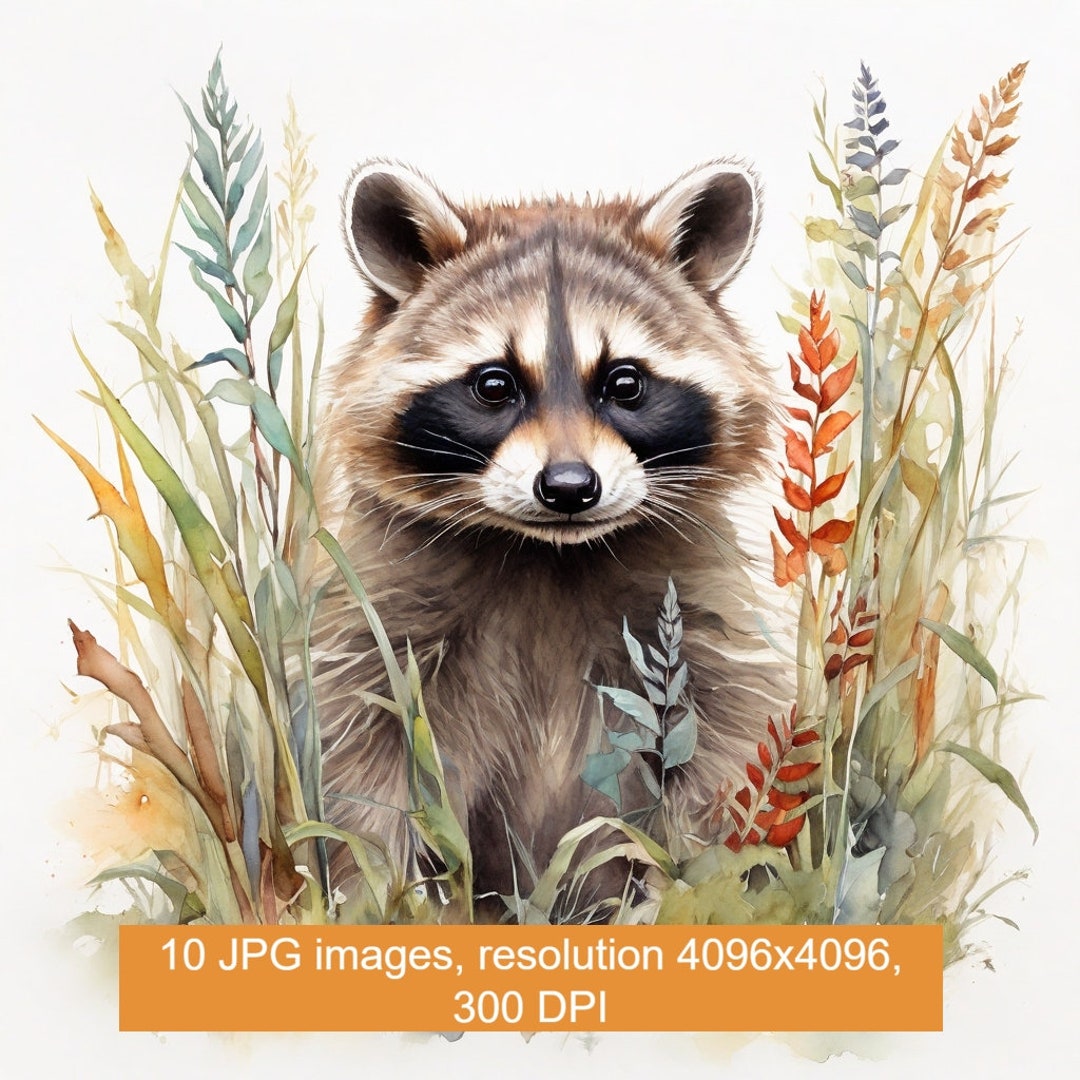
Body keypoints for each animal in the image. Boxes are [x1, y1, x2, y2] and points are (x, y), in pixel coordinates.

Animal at [312, 159, 791, 914]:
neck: (547, 554)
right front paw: (380, 897)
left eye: (625, 384)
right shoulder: (379, 612)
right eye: (494, 385)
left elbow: (723, 756)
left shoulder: (703, 620)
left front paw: (701, 893)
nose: (569, 487)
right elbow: (363, 760)